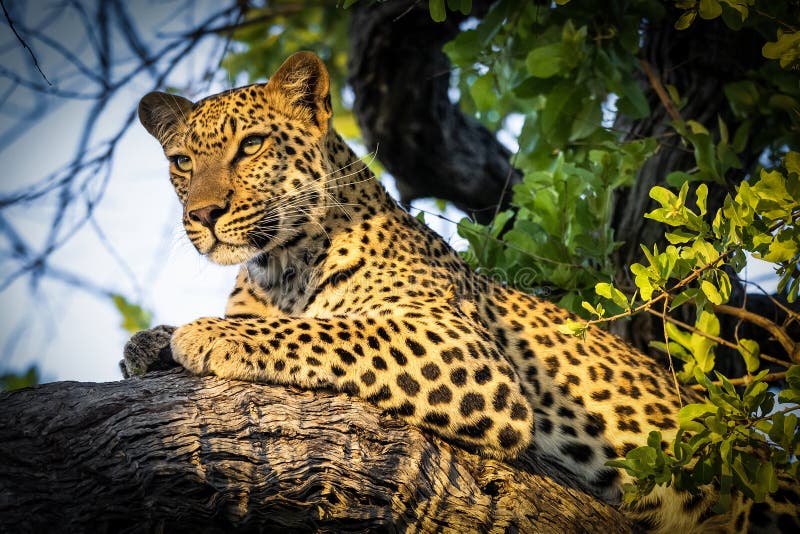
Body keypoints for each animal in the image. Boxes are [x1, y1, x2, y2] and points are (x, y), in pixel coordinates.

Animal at [134, 51, 798, 532]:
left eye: (250, 145)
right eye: (182, 162)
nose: (204, 214)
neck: (278, 267)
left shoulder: (458, 344)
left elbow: (321, 329)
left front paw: (208, 333)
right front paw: (148, 341)